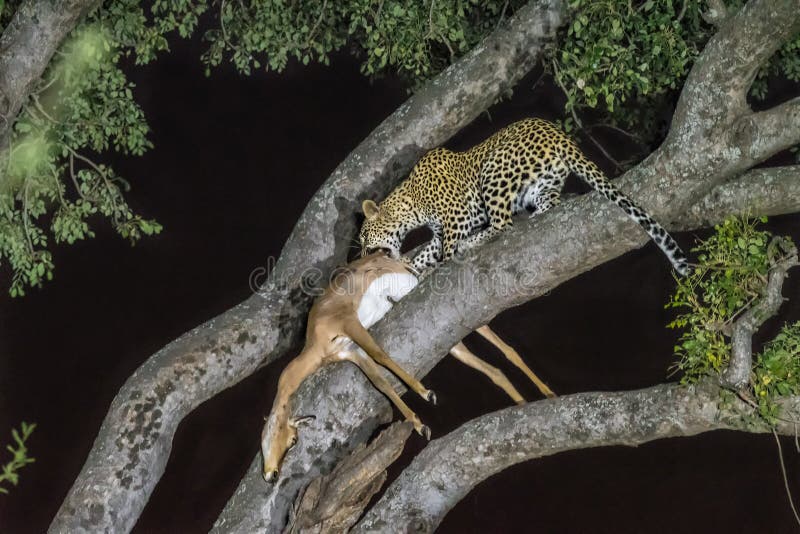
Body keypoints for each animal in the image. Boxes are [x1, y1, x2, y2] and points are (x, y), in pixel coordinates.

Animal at [358, 118, 689, 276]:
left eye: (363, 238)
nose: (361, 257)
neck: (411, 204)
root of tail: (561, 136)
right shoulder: (440, 232)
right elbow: (427, 251)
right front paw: (413, 266)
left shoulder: (456, 219)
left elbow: (447, 251)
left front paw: (435, 266)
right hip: (543, 183)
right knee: (547, 203)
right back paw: (537, 212)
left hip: (495, 168)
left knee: (503, 224)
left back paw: (475, 241)